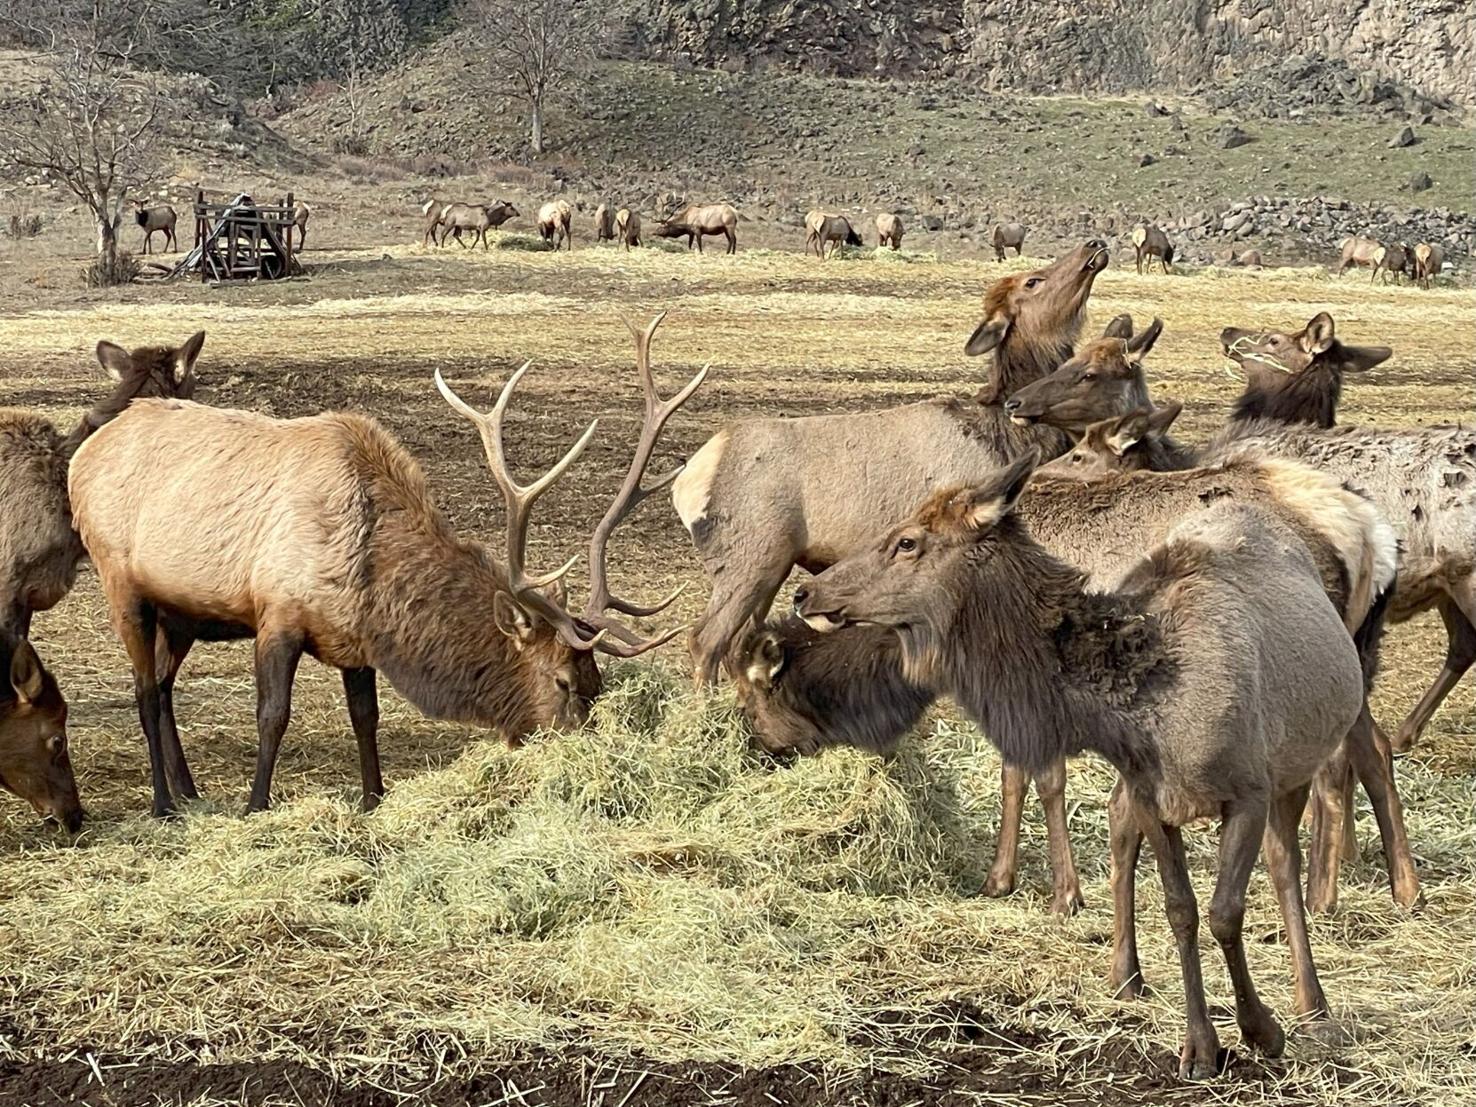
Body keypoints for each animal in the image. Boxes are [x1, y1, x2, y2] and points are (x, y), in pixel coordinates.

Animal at [68, 316, 703, 819]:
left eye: (600, 684)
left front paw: (373, 798)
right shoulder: (278, 613)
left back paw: (190, 790)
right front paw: (256, 804)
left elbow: (365, 717)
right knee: (143, 690)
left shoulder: (354, 640)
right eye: (564, 681)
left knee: (164, 685)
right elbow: (273, 715)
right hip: (120, 580)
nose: (580, 752)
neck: (369, 574)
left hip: (180, 612)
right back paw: (163, 802)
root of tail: (83, 456)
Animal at [671, 240, 1112, 686]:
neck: (1003, 435)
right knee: (705, 639)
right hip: (751, 556)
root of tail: (686, 482)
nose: (1093, 244)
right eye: (1033, 280)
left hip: (771, 567)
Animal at [794, 450, 1380, 1080]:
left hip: (1297, 760)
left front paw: (1260, 1030)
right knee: (1128, 826)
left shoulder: (1248, 788)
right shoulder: (1150, 792)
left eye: (907, 542)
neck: (1147, 712)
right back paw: (1126, 975)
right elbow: (1180, 908)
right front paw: (1200, 1046)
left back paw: (1313, 1004)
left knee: (1285, 861)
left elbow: (1226, 911)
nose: (806, 592)